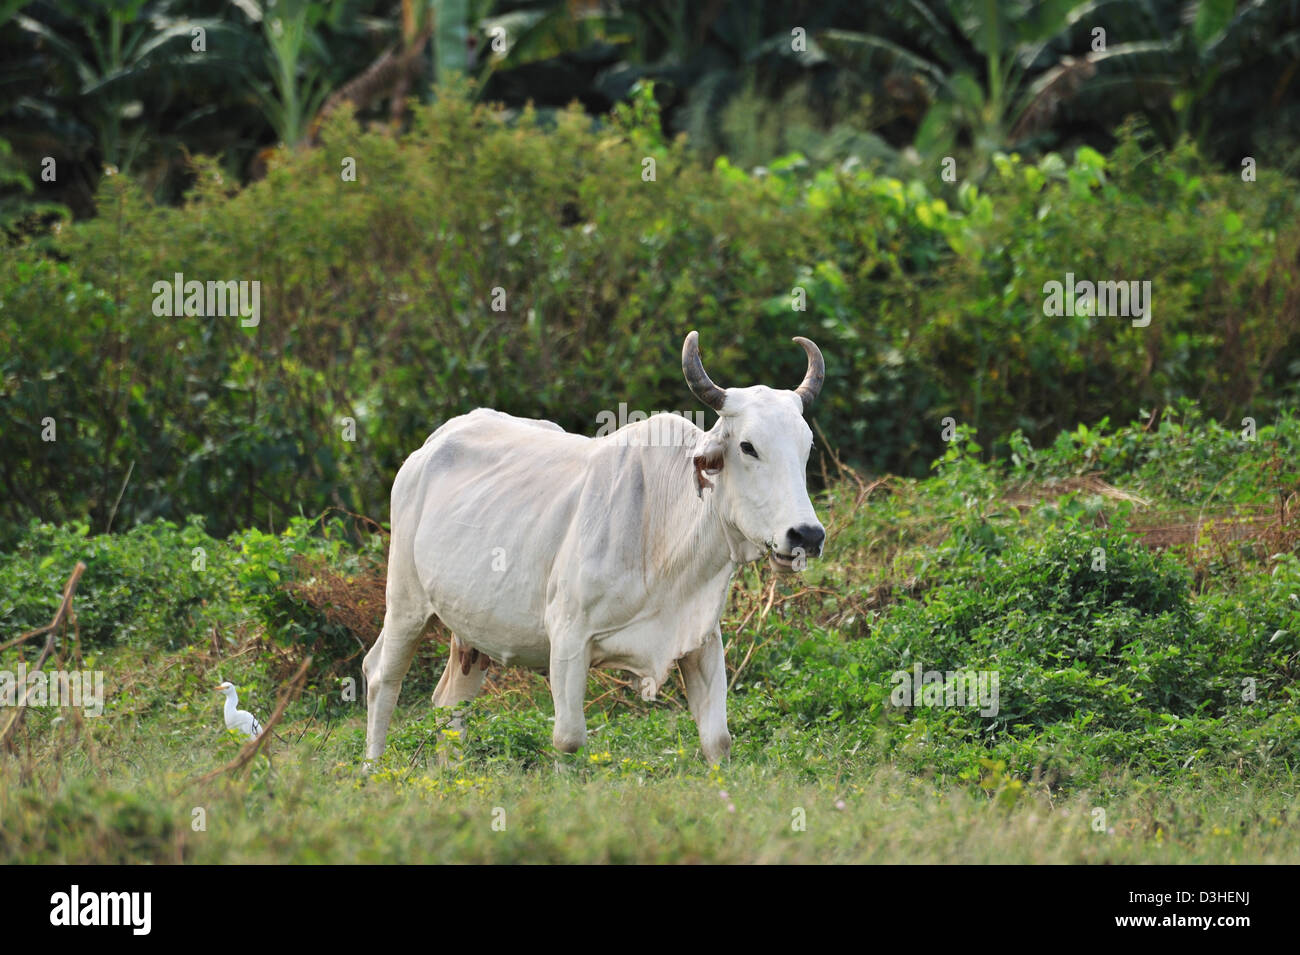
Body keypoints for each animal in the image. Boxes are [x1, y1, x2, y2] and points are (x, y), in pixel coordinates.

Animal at [362, 330, 826, 766]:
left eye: (806, 449)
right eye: (748, 447)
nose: (807, 535)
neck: (662, 528)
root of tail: (431, 446)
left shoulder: (702, 641)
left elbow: (718, 741)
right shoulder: (568, 636)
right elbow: (568, 740)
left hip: (470, 631)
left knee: (449, 702)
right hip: (405, 601)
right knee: (380, 675)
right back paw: (374, 768)